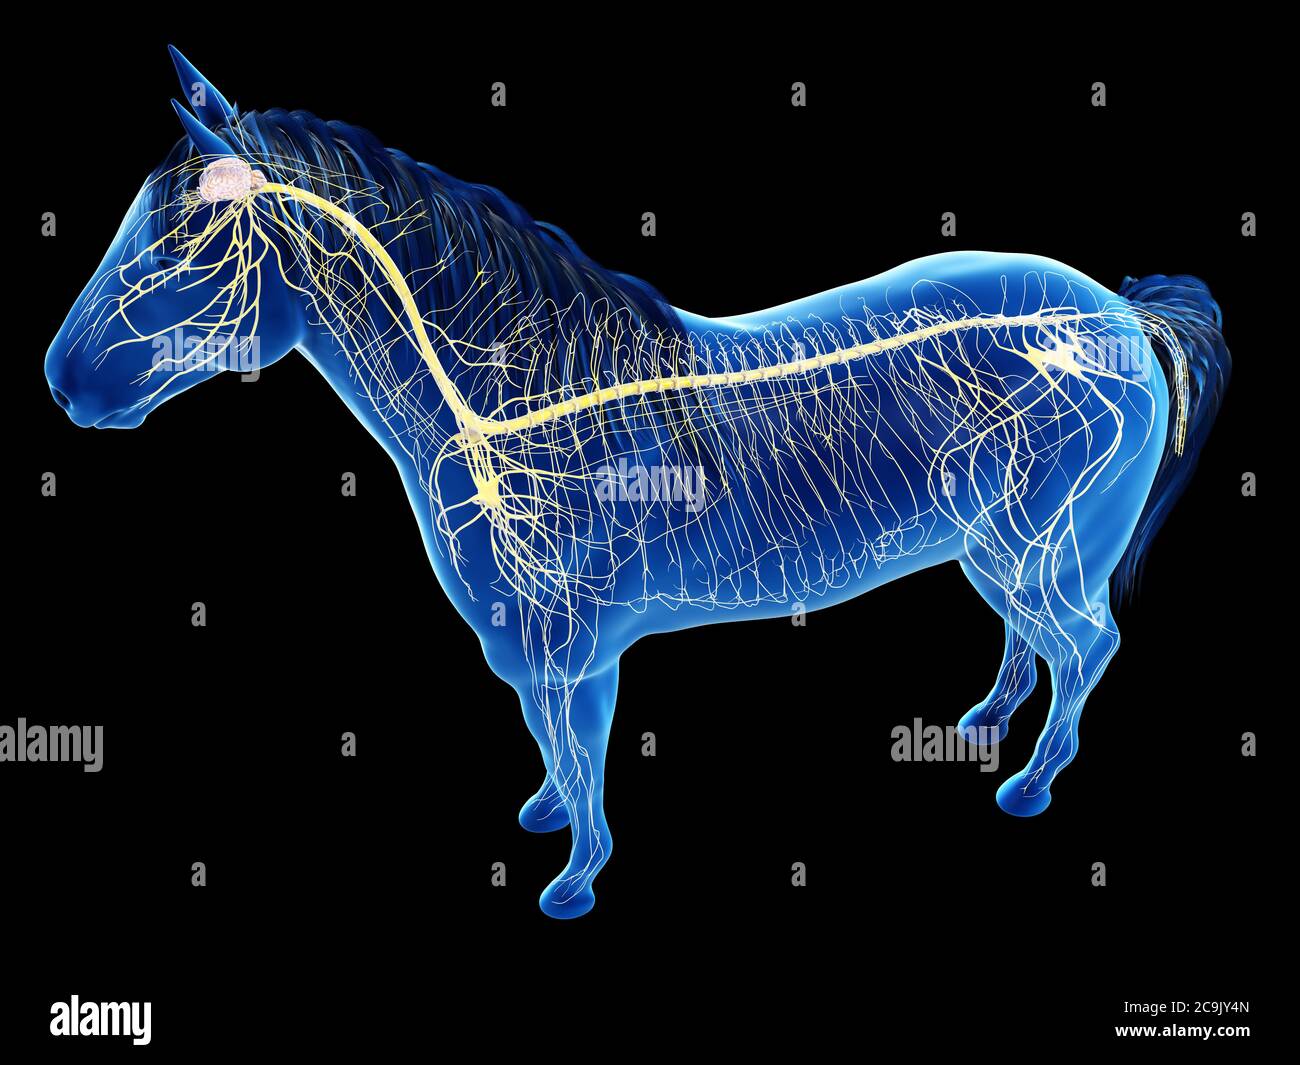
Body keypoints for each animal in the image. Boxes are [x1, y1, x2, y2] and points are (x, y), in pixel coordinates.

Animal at [45, 48, 1230, 918]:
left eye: (179, 245)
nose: (61, 380)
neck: (521, 404)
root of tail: (1117, 315)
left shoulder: (573, 641)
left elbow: (582, 751)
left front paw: (574, 881)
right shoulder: (525, 642)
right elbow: (546, 743)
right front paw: (539, 818)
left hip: (1044, 544)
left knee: (1086, 646)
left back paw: (1029, 783)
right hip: (997, 545)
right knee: (1029, 637)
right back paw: (982, 726)